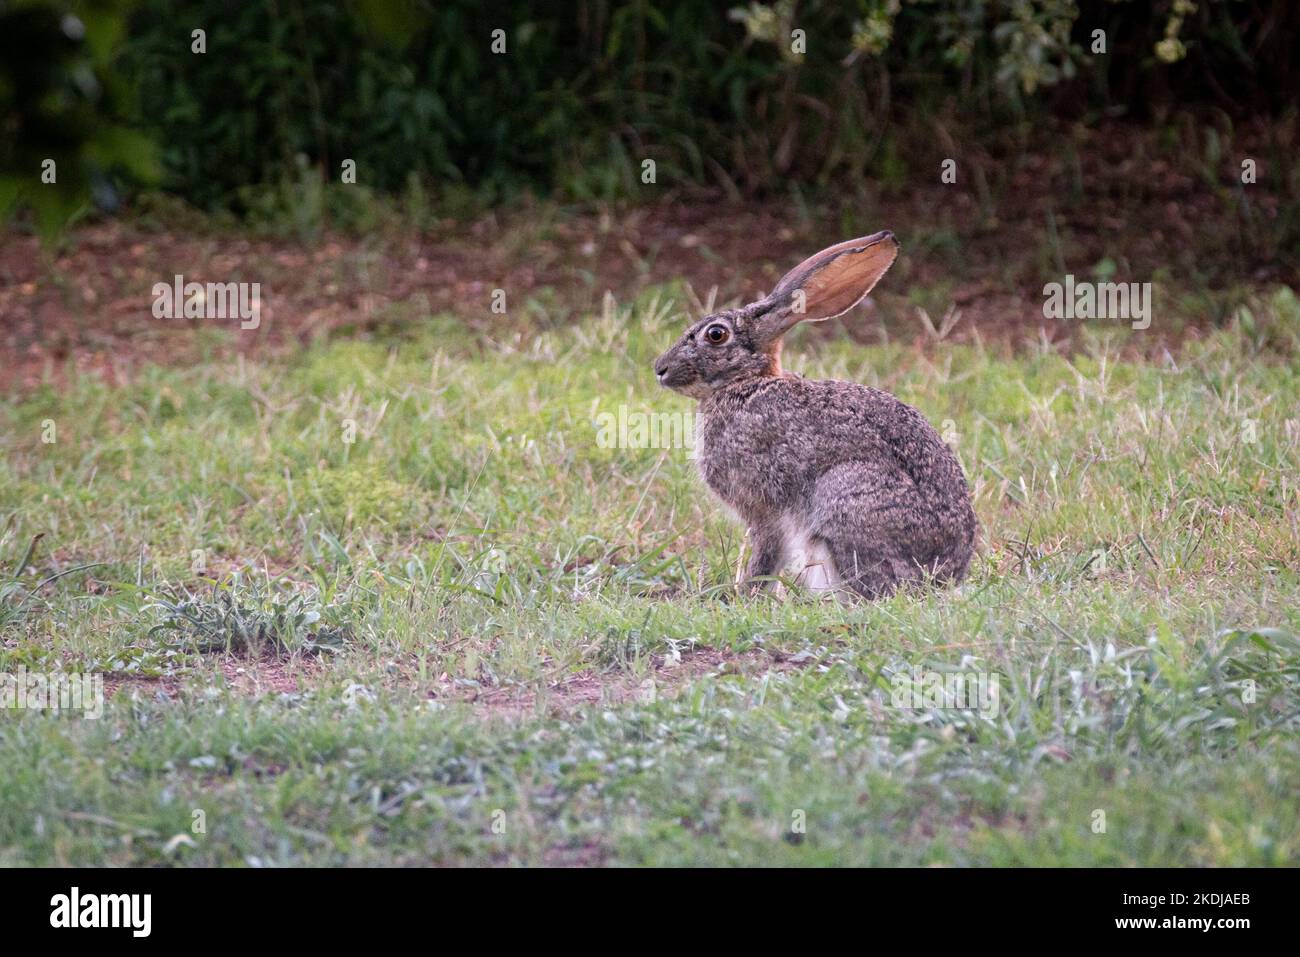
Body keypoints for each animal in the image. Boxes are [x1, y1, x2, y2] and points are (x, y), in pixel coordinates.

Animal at [653, 231, 977, 599]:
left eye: (716, 334)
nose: (660, 369)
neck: (746, 383)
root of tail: (943, 577)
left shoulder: (765, 509)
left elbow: (766, 553)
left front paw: (746, 594)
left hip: (845, 494)